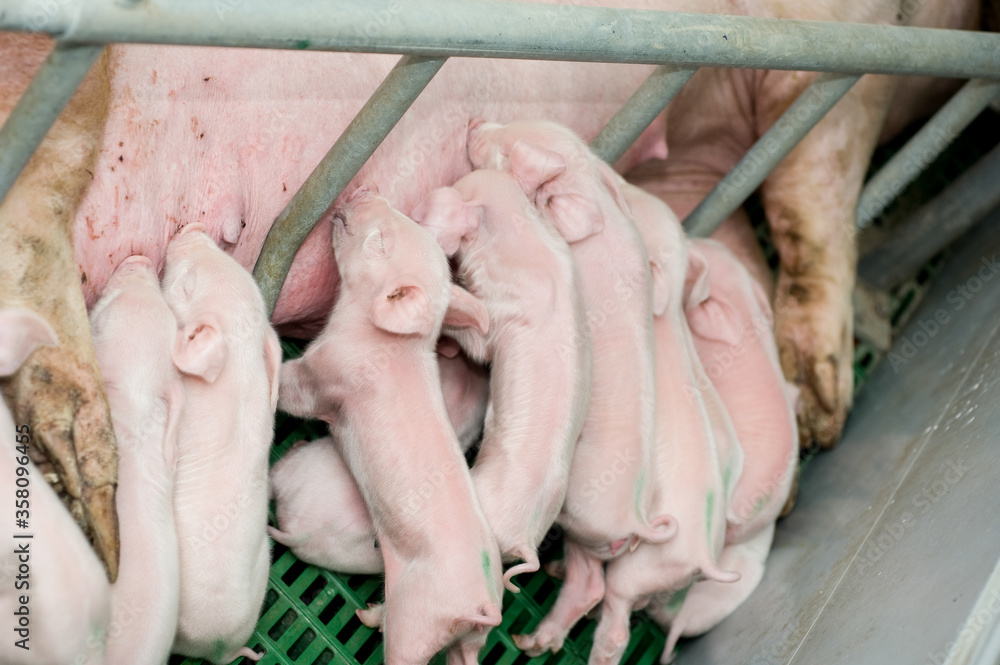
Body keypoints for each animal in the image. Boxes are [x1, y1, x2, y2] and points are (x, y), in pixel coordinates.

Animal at [276, 188, 503, 665]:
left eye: (380, 240)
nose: (365, 191)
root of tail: (483, 605)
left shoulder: (327, 375)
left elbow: (294, 391)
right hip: (467, 638)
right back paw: (366, 613)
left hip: (415, 622)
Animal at [466, 119, 676, 654]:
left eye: (509, 155)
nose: (476, 126)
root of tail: (635, 519)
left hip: (578, 522)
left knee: (591, 585)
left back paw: (528, 641)